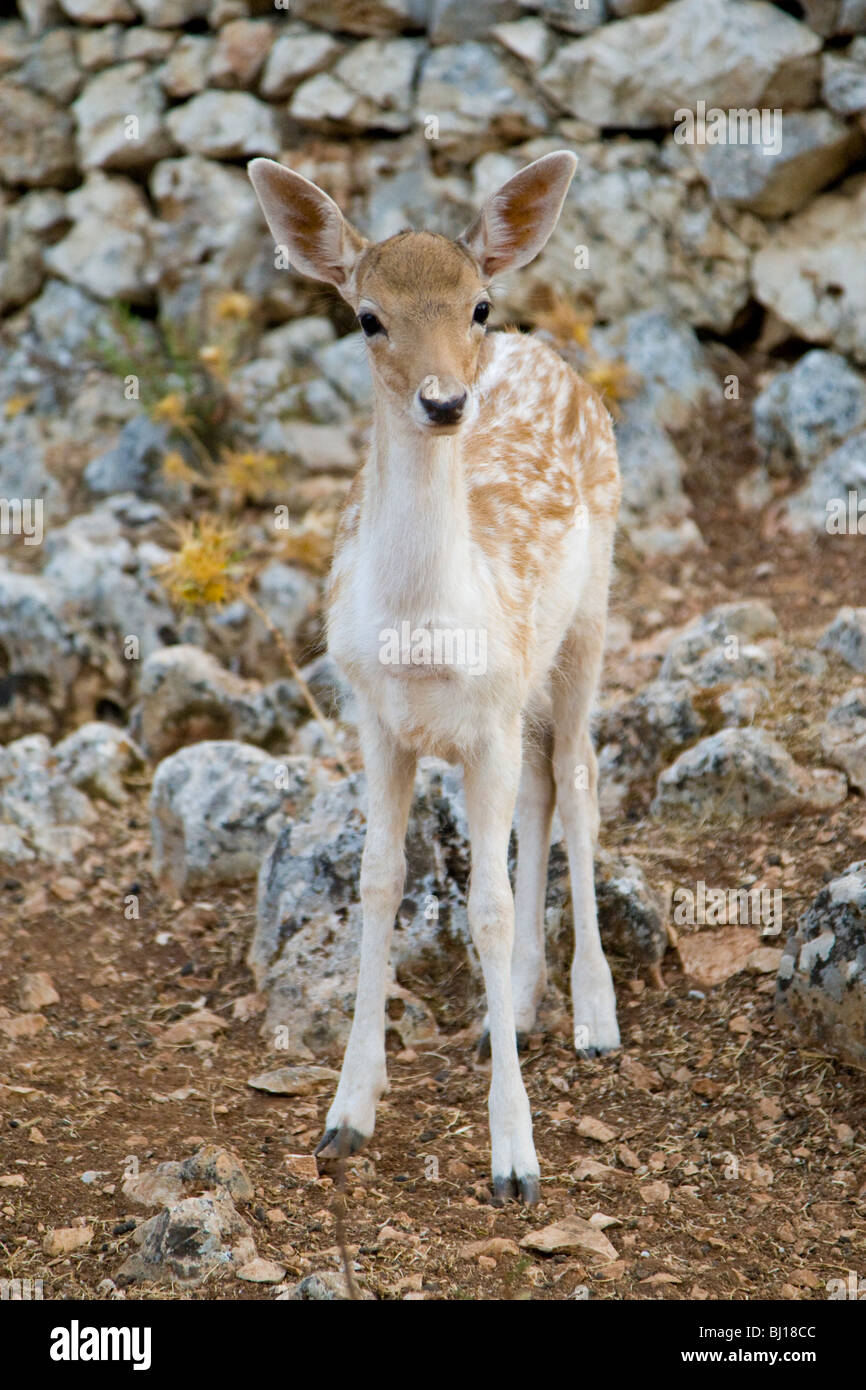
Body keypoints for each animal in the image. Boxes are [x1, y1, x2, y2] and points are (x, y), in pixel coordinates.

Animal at [248, 150, 621, 1204]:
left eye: (477, 305)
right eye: (368, 316)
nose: (447, 401)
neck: (422, 629)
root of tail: (552, 357)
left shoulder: (486, 715)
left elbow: (485, 908)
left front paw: (516, 1161)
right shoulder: (376, 718)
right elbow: (378, 882)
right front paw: (347, 1113)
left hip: (590, 611)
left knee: (576, 775)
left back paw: (592, 1017)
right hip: (520, 685)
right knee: (541, 785)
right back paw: (520, 1012)